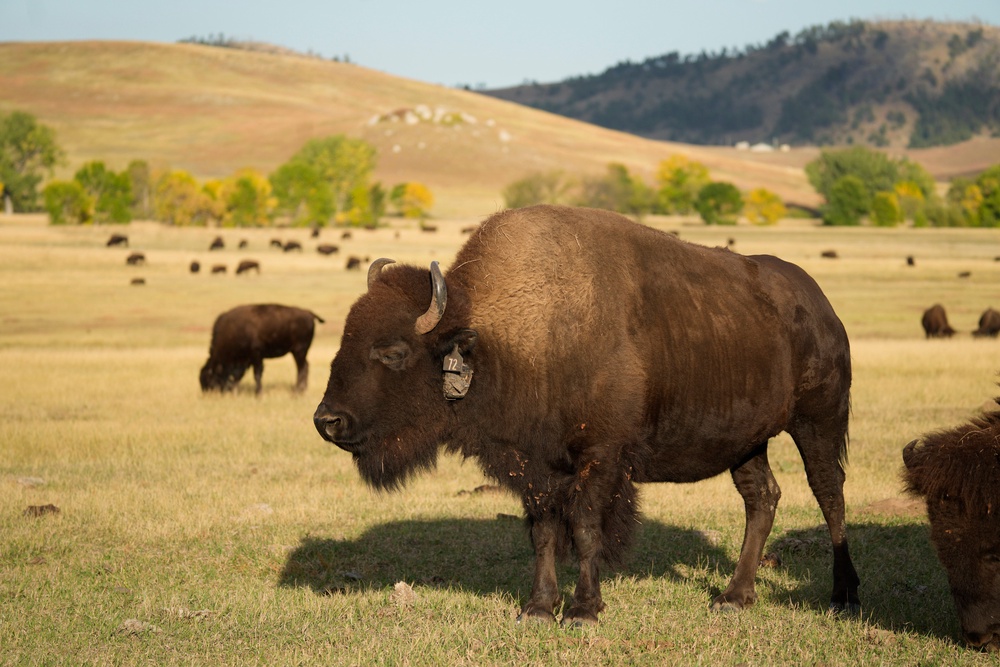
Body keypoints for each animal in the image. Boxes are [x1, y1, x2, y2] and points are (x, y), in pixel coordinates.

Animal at [313, 205, 860, 626]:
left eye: (393, 352)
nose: (327, 421)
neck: (506, 334)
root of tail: (821, 306)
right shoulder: (534, 467)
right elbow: (543, 533)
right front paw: (537, 608)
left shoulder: (599, 457)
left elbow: (585, 527)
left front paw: (583, 611)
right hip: (747, 442)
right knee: (761, 498)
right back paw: (734, 597)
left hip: (817, 423)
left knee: (829, 493)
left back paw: (843, 596)